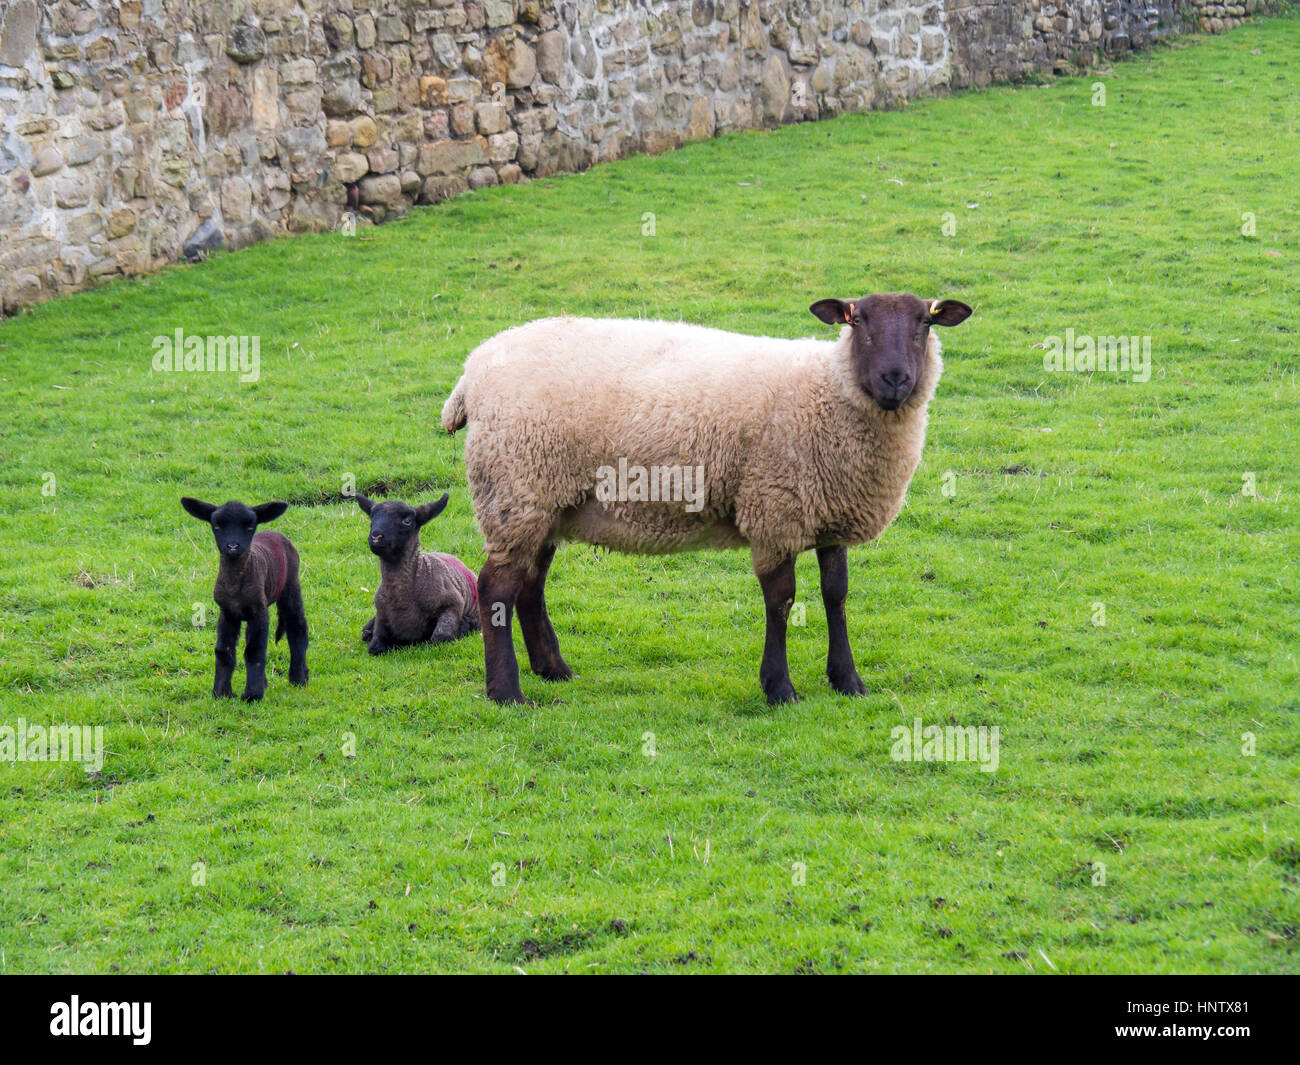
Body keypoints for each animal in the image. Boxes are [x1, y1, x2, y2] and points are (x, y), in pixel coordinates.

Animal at [181, 497, 309, 700]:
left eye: (250, 527)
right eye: (217, 526)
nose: (233, 547)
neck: (235, 588)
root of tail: (275, 533)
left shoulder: (259, 611)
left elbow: (254, 651)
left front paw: (252, 695)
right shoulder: (227, 613)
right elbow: (223, 651)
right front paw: (221, 693)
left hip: (291, 583)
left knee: (297, 625)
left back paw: (298, 679)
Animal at [354, 492, 481, 654]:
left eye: (407, 521)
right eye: (372, 518)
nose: (376, 537)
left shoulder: (453, 602)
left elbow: (440, 637)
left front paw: (461, 627)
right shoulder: (381, 615)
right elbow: (375, 647)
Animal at [441, 291, 973, 705]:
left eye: (925, 323)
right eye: (856, 321)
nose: (895, 379)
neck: (827, 392)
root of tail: (471, 372)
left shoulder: (828, 514)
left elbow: (836, 595)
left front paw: (847, 680)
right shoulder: (774, 508)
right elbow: (782, 600)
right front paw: (779, 688)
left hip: (546, 501)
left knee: (531, 585)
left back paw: (553, 669)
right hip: (517, 487)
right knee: (496, 589)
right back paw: (507, 692)